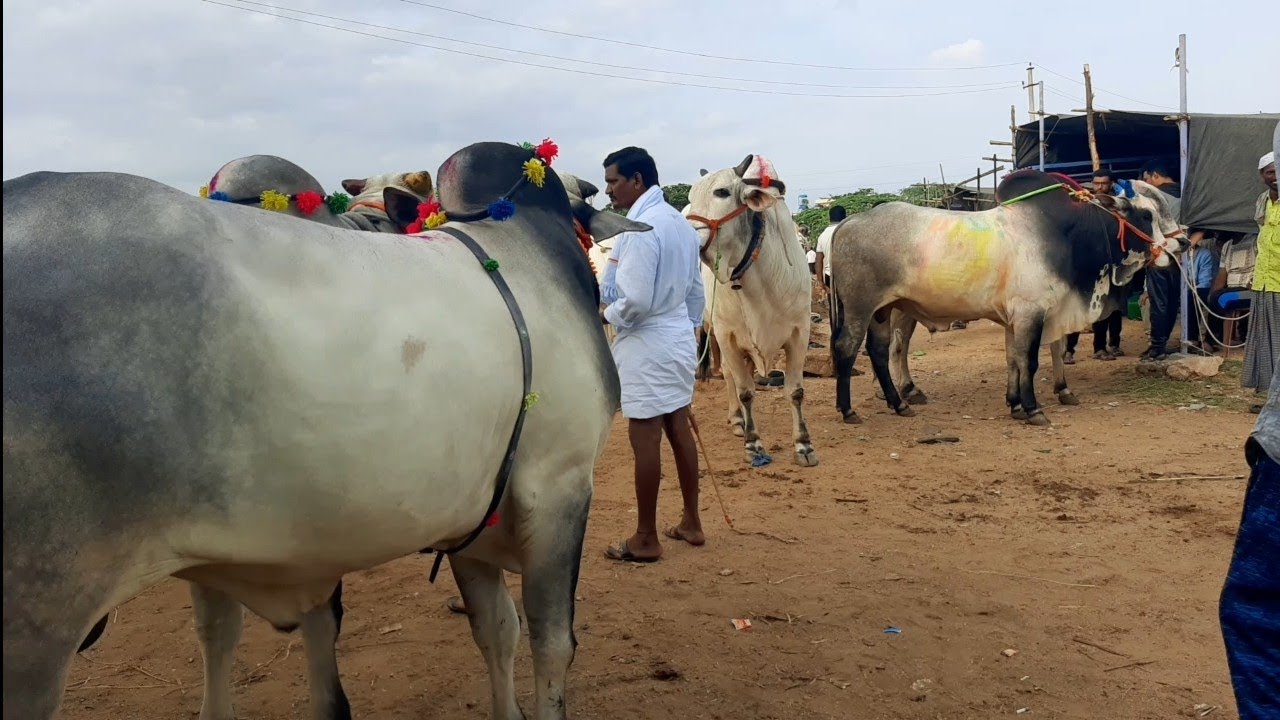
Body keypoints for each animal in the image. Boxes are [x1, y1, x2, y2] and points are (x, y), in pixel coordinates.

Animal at [684, 155, 818, 466]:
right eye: (690, 197)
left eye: (721, 192)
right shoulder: (728, 335)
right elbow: (745, 391)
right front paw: (753, 444)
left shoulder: (799, 332)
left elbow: (795, 391)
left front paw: (803, 445)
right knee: (730, 375)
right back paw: (737, 420)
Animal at [827, 170, 1182, 427]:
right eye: (1146, 215)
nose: (1181, 246)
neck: (1065, 234)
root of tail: (848, 223)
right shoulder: (1031, 312)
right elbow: (1030, 360)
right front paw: (1033, 408)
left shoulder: (1017, 318)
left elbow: (1014, 358)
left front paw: (1015, 405)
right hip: (861, 307)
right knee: (848, 348)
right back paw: (848, 410)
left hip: (883, 309)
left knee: (879, 350)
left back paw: (898, 403)